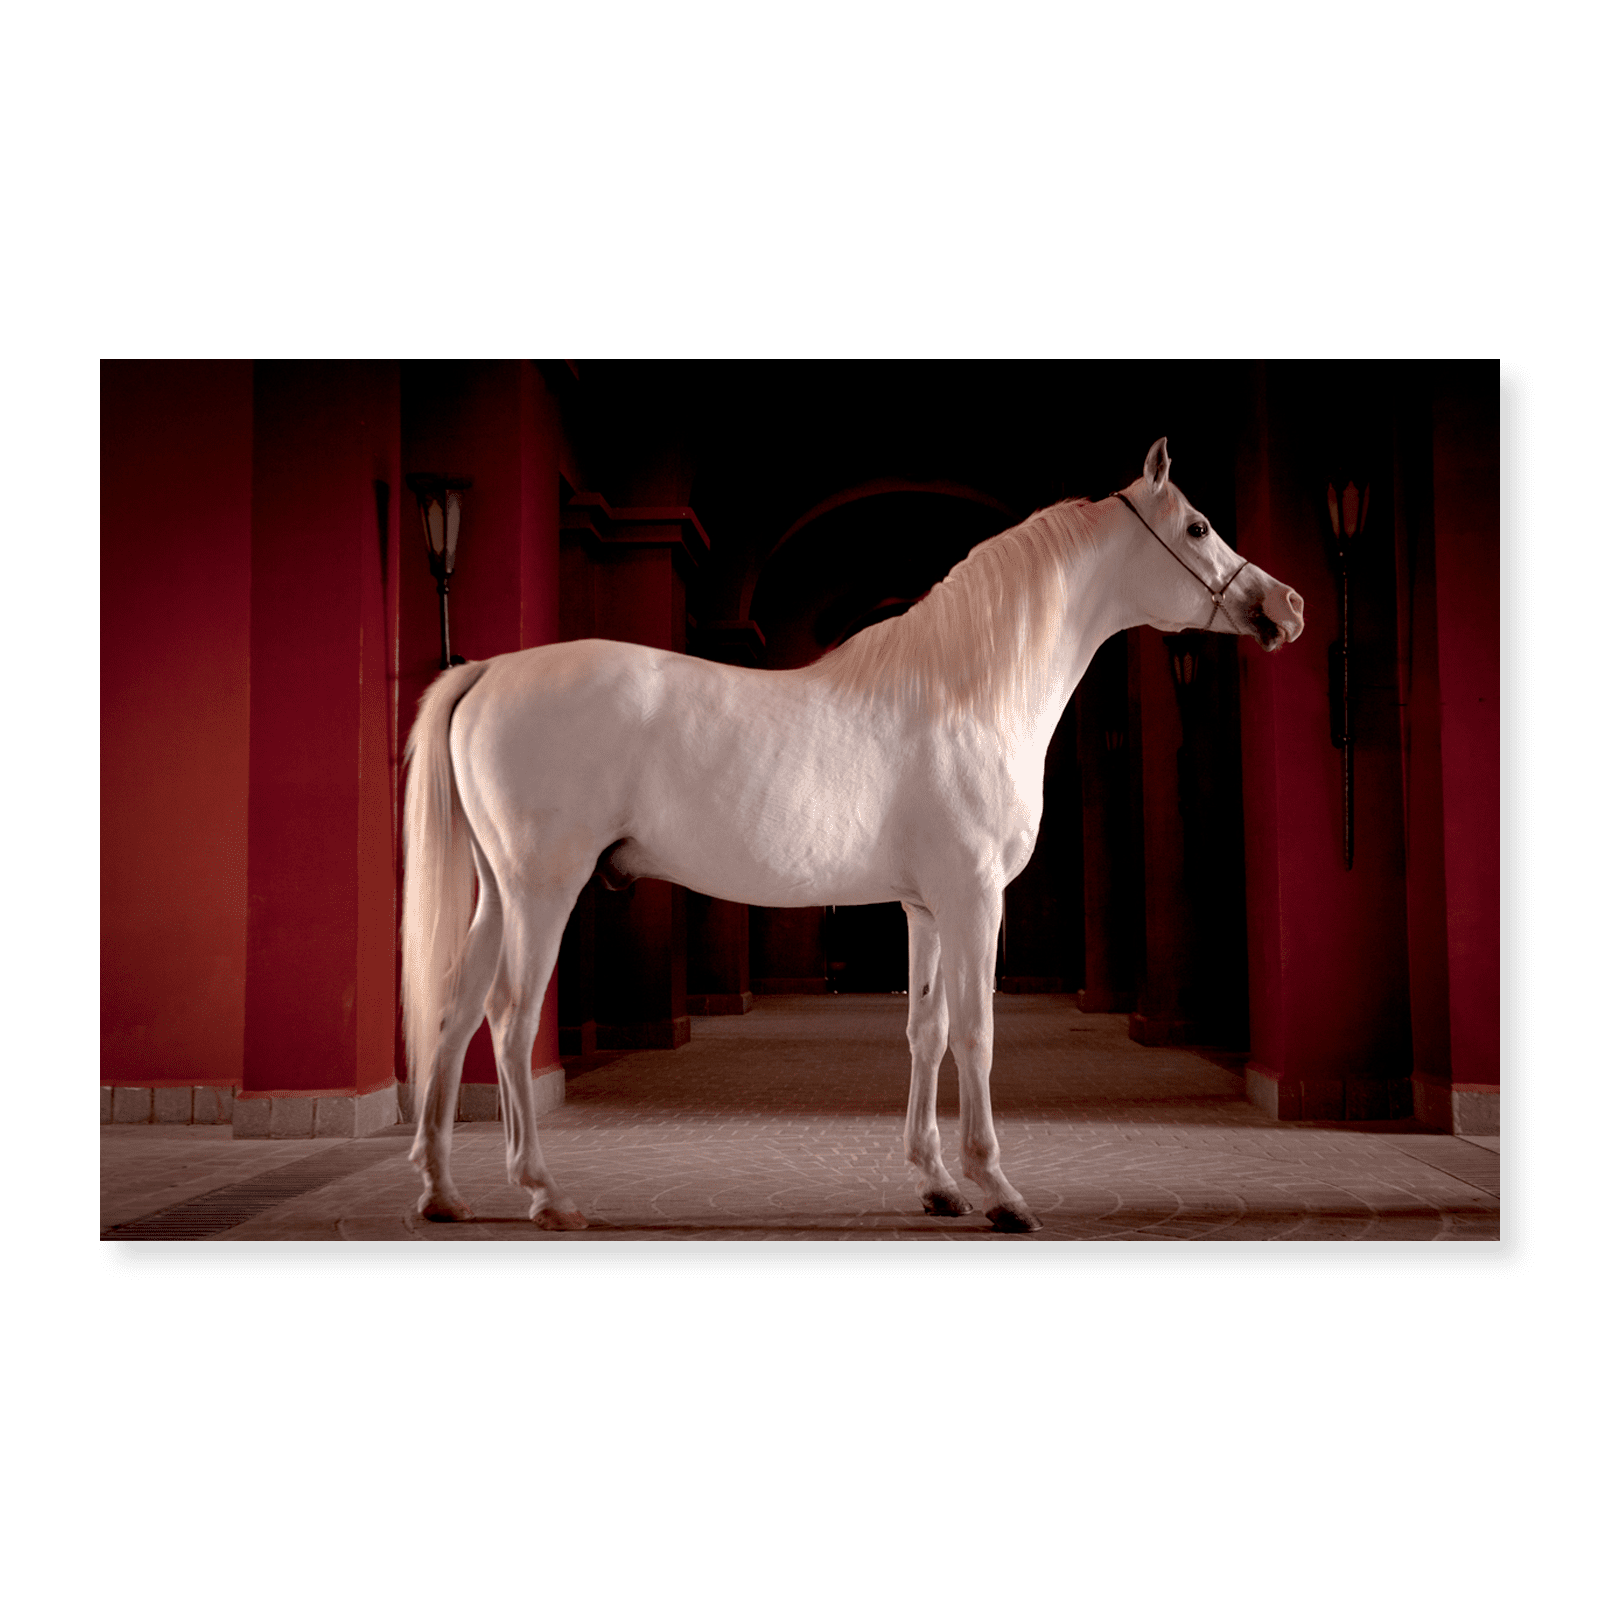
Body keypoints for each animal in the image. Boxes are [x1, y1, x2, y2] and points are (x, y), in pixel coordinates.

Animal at [402, 438, 1304, 1232]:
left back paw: (442, 1193)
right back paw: (544, 1194)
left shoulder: (926, 909)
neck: (968, 692)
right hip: (541, 892)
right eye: (1198, 526)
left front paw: (936, 1182)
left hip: (497, 895)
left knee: (456, 1011)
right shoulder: (974, 900)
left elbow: (925, 1033)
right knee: (511, 1021)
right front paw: (999, 1190)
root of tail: (489, 672)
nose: (1287, 606)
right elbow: (975, 1034)